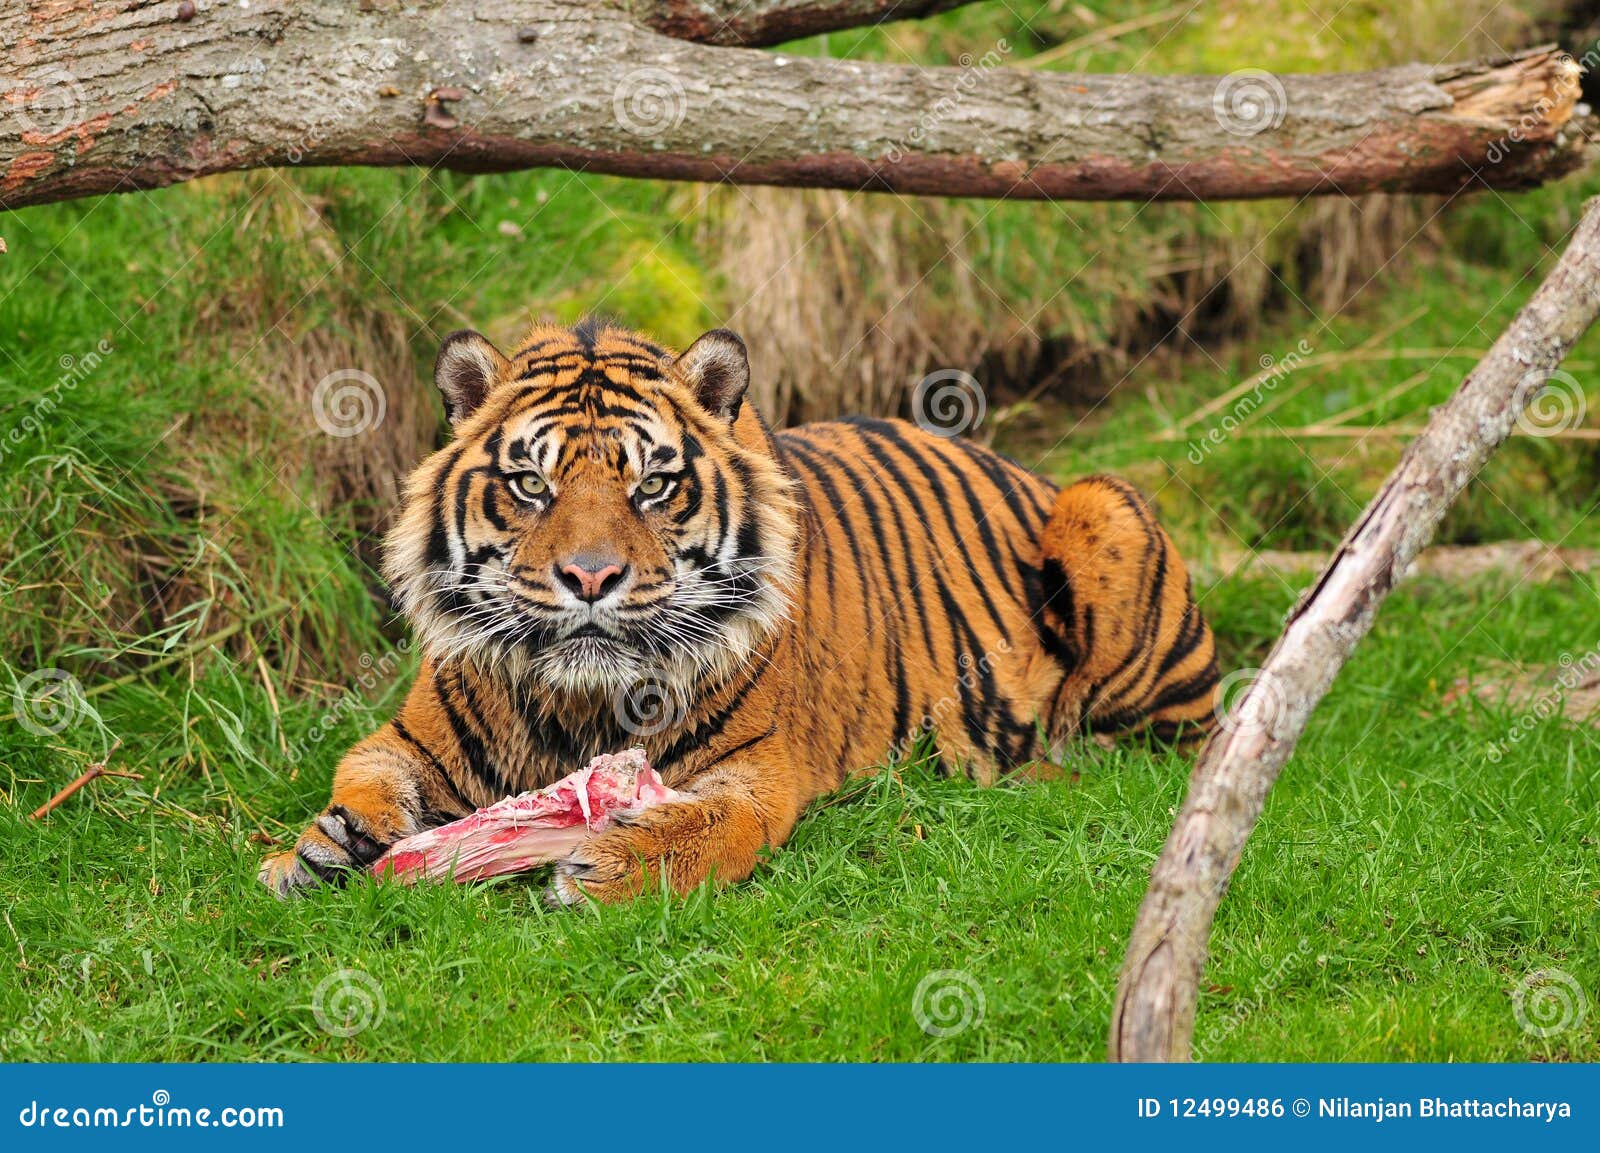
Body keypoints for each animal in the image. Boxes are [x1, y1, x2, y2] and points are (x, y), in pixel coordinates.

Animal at [260, 318, 1219, 903]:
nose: (590, 576)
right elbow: (362, 770)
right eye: (532, 483)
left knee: (1157, 744)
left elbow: (717, 823)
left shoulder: (759, 767)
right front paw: (319, 847)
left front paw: (611, 863)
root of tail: (1028, 468)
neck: (578, 705)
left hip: (1106, 508)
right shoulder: (413, 734)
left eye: (652, 484)